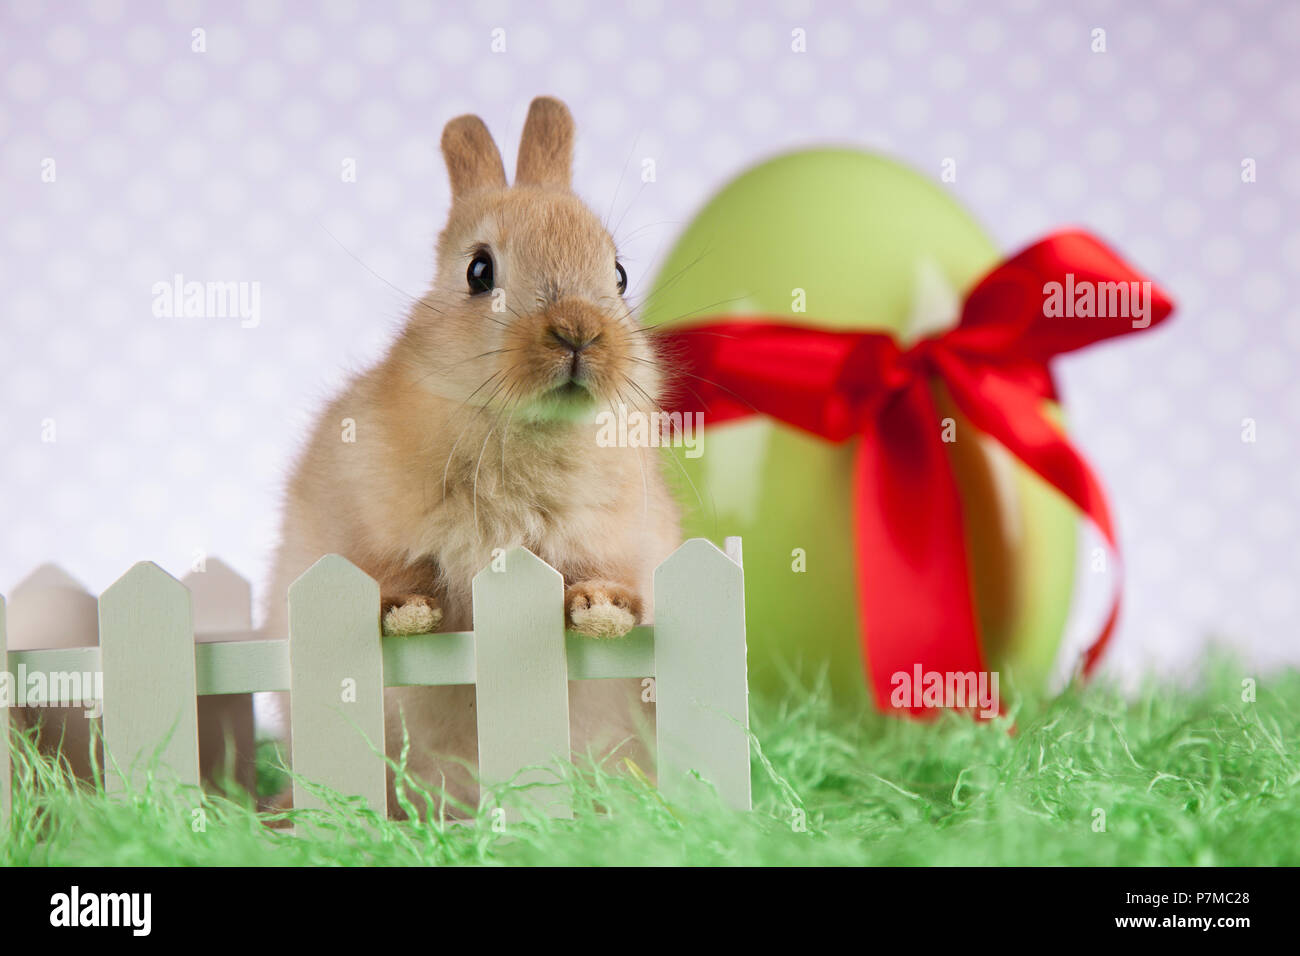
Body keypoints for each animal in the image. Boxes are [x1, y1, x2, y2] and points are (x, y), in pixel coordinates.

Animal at [263, 96, 681, 818]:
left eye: (620, 274)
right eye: (479, 272)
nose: (578, 331)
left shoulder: (622, 541)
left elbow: (613, 581)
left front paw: (601, 612)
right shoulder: (363, 524)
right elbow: (392, 574)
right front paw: (409, 613)